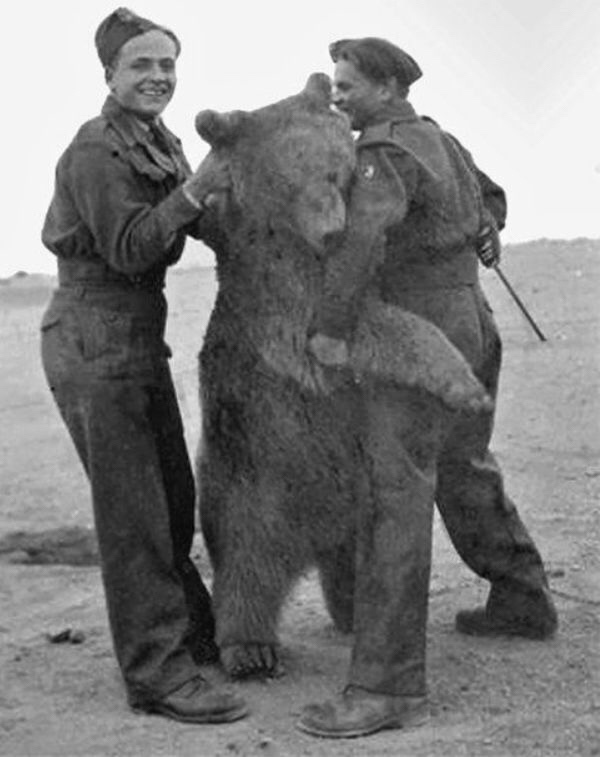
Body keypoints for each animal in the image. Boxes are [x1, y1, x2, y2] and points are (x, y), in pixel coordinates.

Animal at [193, 73, 492, 679]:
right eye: (289, 184)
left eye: (336, 171)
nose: (332, 232)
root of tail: (311, 541)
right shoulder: (281, 290)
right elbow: (352, 326)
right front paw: (466, 385)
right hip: (253, 476)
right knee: (246, 563)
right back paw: (249, 649)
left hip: (347, 497)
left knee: (356, 551)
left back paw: (354, 607)